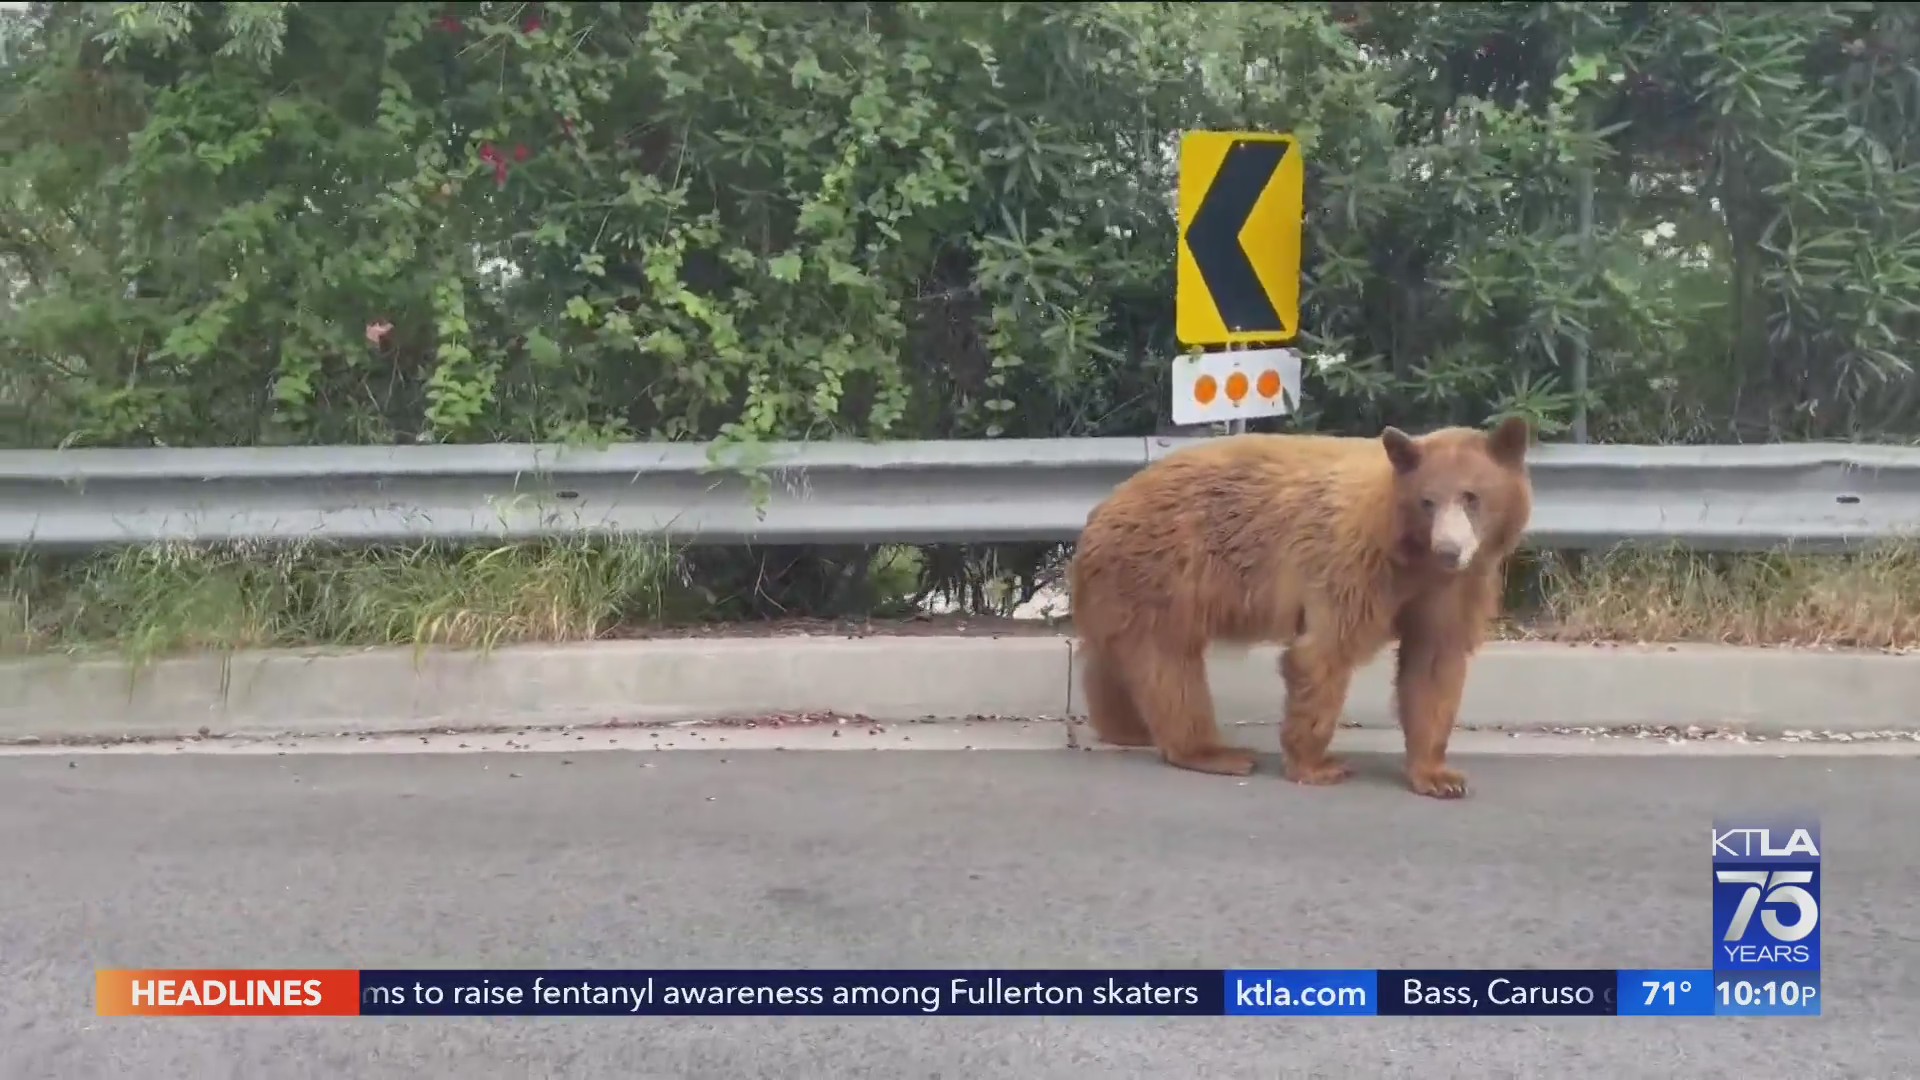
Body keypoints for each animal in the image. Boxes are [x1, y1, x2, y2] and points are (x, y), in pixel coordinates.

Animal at [1065, 417, 1533, 799]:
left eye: (1471, 496)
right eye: (1427, 501)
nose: (1450, 549)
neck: (1411, 554)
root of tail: (1098, 512)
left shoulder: (1453, 588)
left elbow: (1434, 664)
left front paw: (1439, 775)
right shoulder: (1353, 564)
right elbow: (1323, 653)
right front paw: (1318, 765)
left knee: (1121, 657)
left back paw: (1126, 726)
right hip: (1164, 571)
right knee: (1170, 667)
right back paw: (1215, 752)